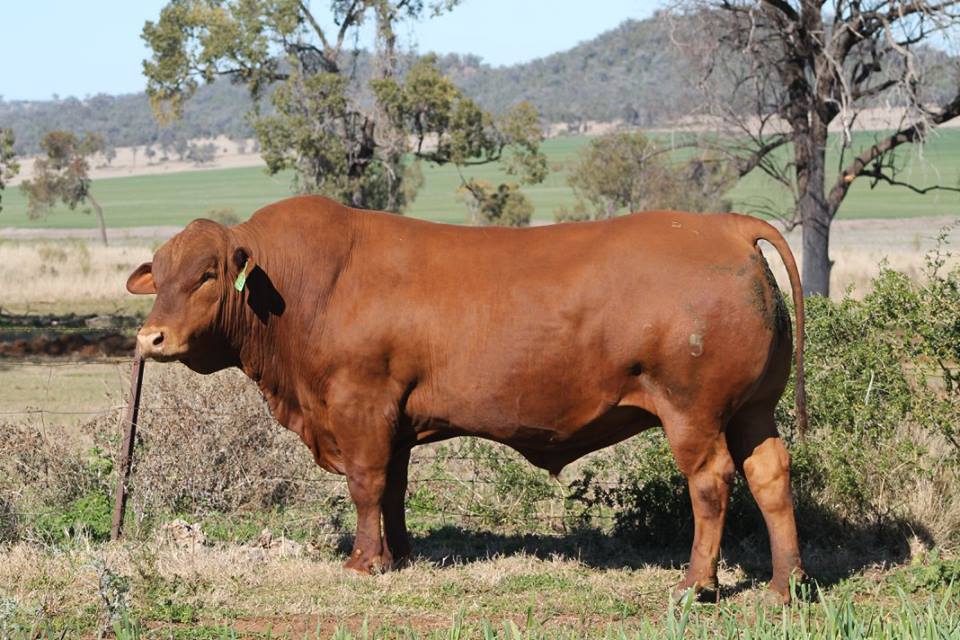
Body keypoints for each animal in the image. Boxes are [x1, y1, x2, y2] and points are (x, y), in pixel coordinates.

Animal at [126, 195, 807, 603]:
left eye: (208, 274)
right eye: (159, 276)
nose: (150, 337)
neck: (303, 289)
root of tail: (725, 226)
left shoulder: (360, 404)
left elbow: (367, 485)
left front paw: (364, 563)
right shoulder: (396, 419)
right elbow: (394, 489)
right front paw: (399, 555)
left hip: (693, 412)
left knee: (710, 483)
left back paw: (698, 584)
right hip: (754, 410)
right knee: (771, 474)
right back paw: (785, 584)